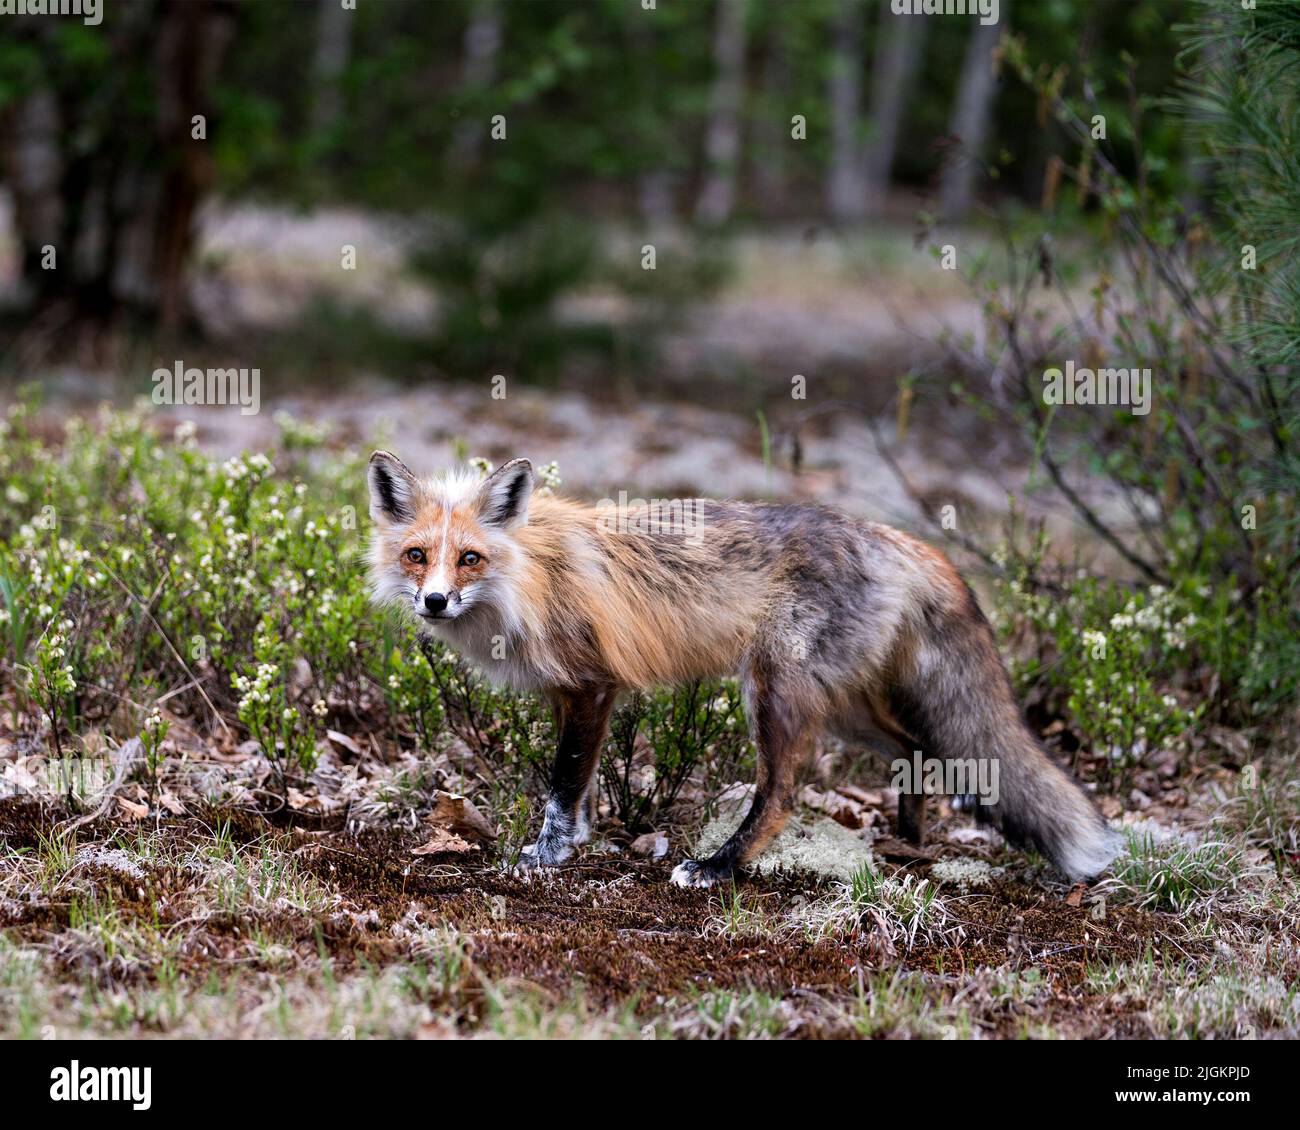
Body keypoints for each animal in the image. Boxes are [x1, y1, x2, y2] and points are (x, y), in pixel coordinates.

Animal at [366, 452, 1118, 888]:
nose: (434, 601)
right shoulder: (569, 696)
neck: (531, 577)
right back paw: (907, 845)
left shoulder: (591, 685)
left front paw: (549, 855)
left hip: (774, 693)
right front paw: (577, 840)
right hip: (843, 709)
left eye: (469, 558)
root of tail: (900, 539)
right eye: (416, 556)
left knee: (781, 795)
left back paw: (718, 865)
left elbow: (562, 784)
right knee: (919, 751)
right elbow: (580, 788)